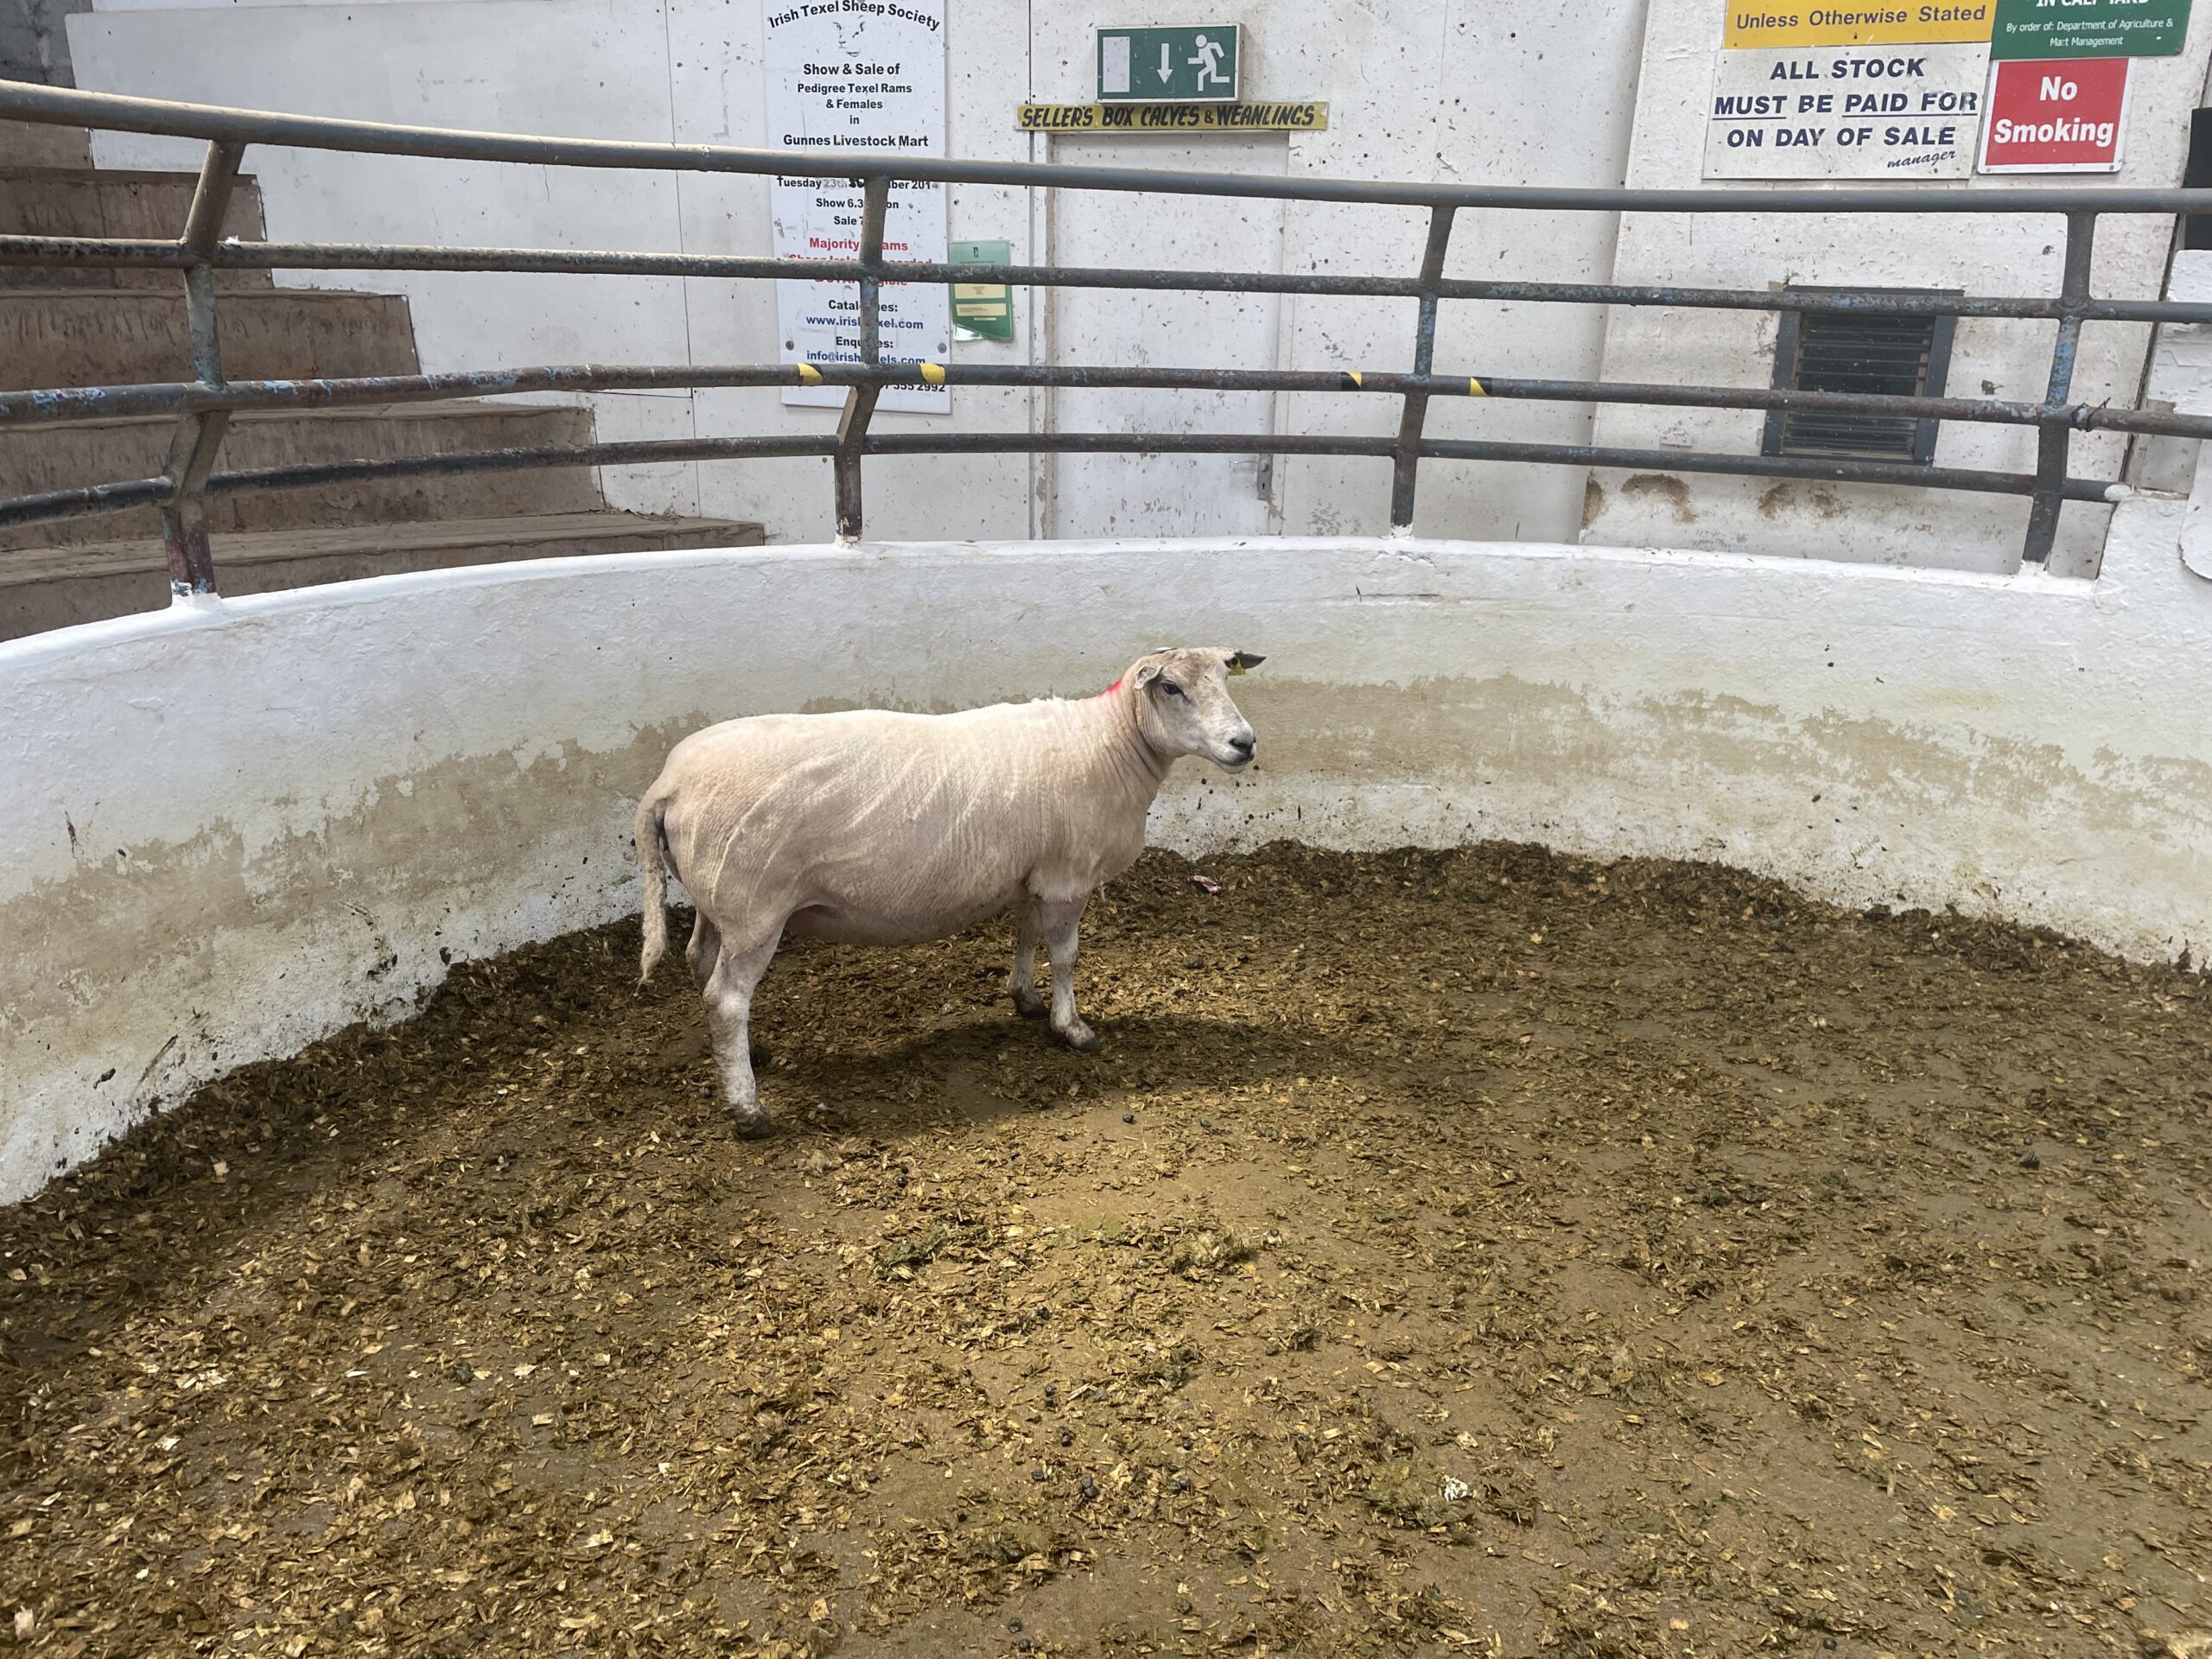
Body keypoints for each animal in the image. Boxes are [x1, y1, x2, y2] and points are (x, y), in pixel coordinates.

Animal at [633, 646, 1265, 1135]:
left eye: (1227, 678)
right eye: (1172, 688)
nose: (1245, 743)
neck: (1113, 744)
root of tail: (668, 784)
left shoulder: (1035, 874)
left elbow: (1026, 937)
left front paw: (1025, 999)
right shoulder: (1068, 876)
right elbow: (1065, 956)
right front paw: (1072, 1029)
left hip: (720, 901)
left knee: (700, 962)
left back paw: (753, 1053)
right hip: (755, 908)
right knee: (726, 999)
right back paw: (748, 1110)